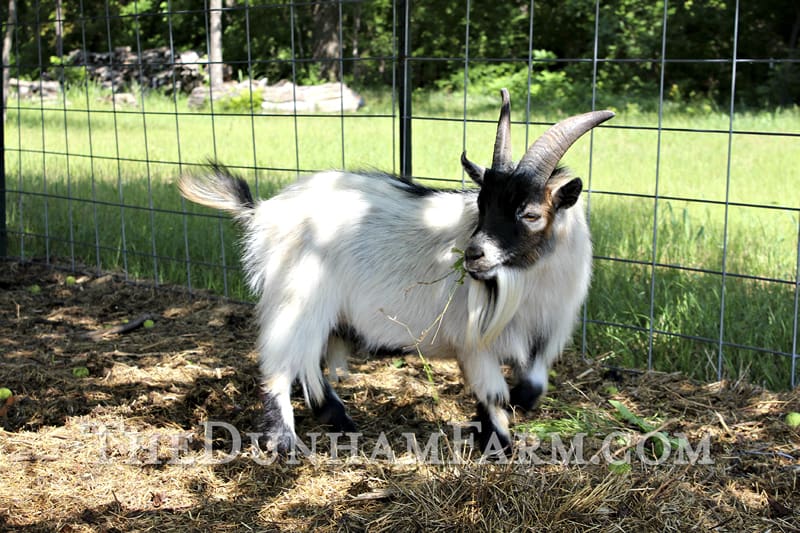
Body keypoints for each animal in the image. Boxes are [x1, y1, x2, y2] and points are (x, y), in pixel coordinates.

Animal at [178, 89, 613, 454]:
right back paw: (283, 440)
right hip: (297, 297)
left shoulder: (546, 333)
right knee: (281, 361)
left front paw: (510, 416)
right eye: (482, 204)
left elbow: (534, 384)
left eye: (531, 214)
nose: (473, 256)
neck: (532, 280)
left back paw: (338, 420)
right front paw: (500, 444)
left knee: (307, 362)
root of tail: (265, 211)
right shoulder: (473, 342)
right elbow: (493, 394)